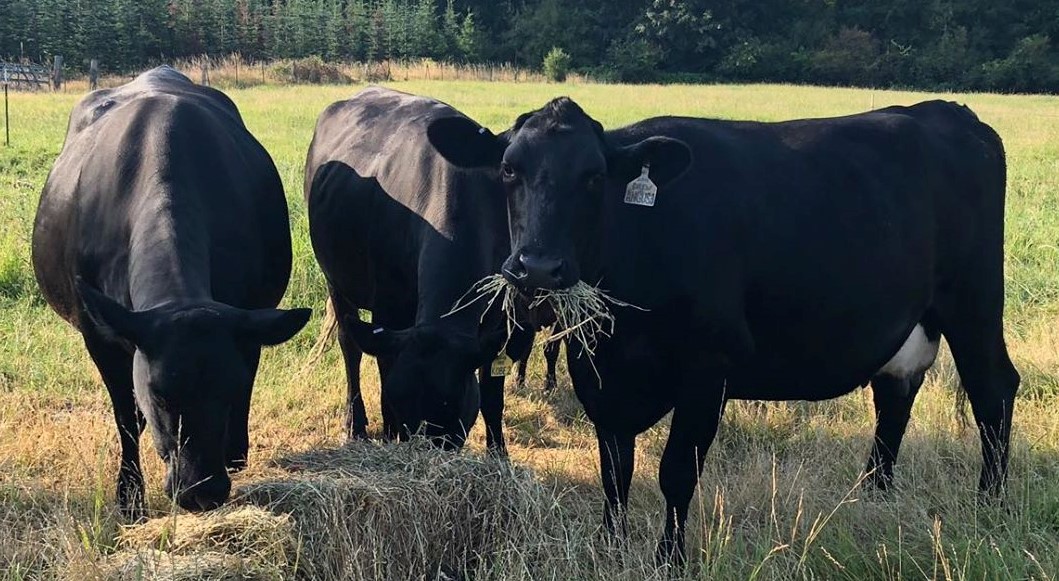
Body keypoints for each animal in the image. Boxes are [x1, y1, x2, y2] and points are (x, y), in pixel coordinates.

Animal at [32, 67, 311, 519]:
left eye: (226, 391)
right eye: (159, 395)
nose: (203, 491)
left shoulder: (245, 315)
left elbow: (247, 376)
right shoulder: (99, 333)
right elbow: (127, 416)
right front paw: (129, 496)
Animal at [305, 87, 534, 454]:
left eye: (456, 414)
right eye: (405, 412)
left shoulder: (496, 311)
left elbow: (491, 392)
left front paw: (499, 453)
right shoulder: (388, 306)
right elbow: (384, 373)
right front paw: (389, 435)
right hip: (336, 280)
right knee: (350, 347)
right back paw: (354, 424)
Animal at [426, 98, 1019, 564]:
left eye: (594, 176)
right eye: (508, 170)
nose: (539, 267)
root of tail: (949, 113)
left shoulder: (707, 370)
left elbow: (675, 472)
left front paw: (669, 560)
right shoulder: (600, 375)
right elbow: (615, 469)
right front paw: (609, 548)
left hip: (974, 300)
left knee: (993, 389)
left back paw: (990, 507)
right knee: (895, 393)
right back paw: (871, 497)